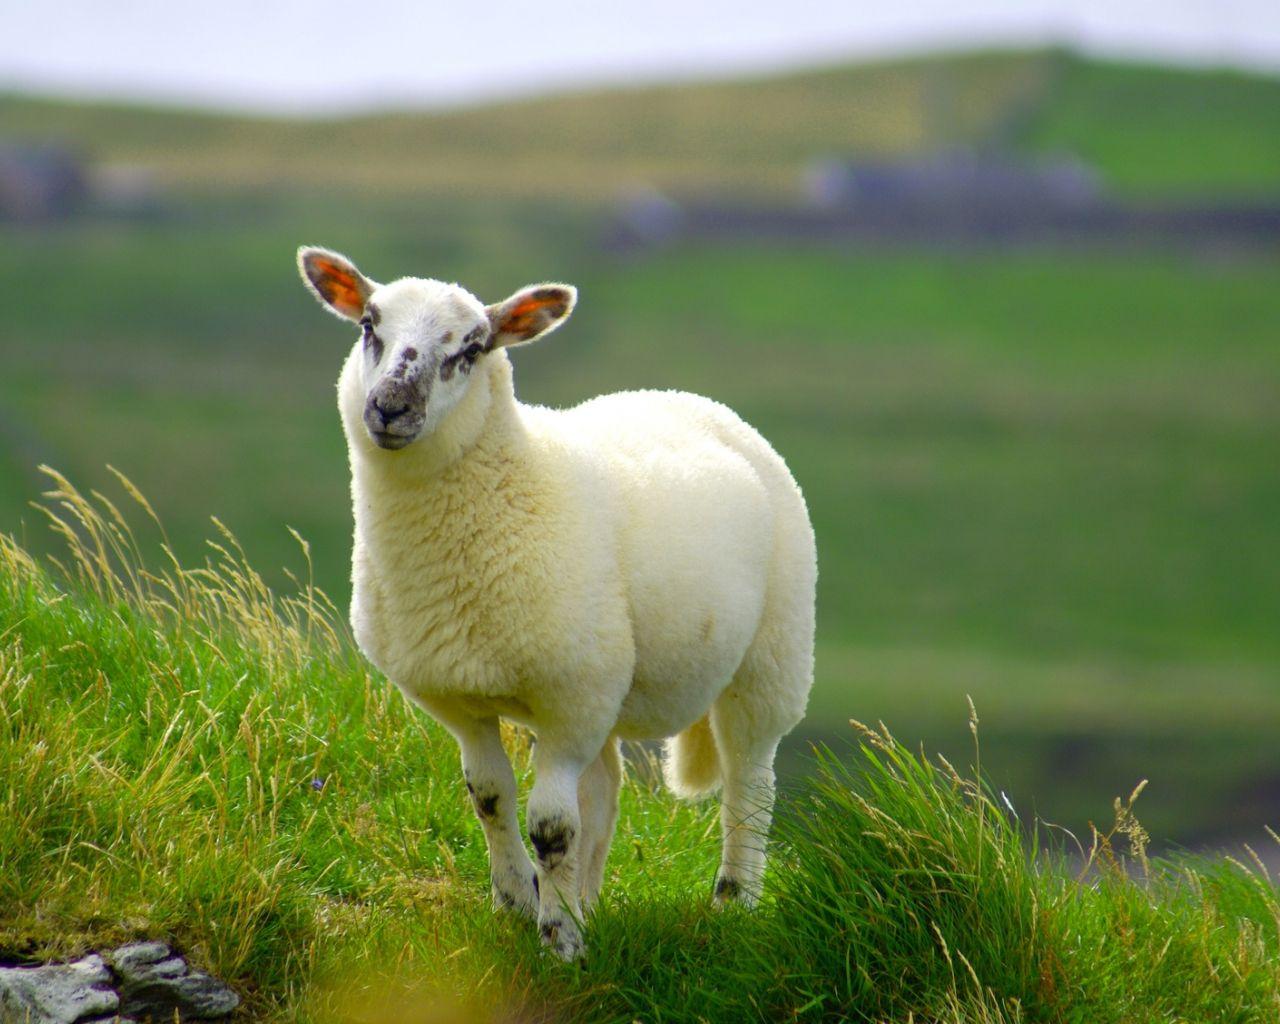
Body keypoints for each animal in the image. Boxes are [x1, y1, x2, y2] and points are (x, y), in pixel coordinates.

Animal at [296, 246, 816, 959]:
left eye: (474, 346)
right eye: (369, 325)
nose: (390, 407)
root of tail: (690, 398)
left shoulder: (571, 698)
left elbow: (550, 826)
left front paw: (559, 940)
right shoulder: (463, 699)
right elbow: (491, 798)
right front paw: (518, 904)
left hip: (769, 657)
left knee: (750, 784)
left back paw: (732, 903)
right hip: (612, 680)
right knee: (605, 791)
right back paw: (589, 898)